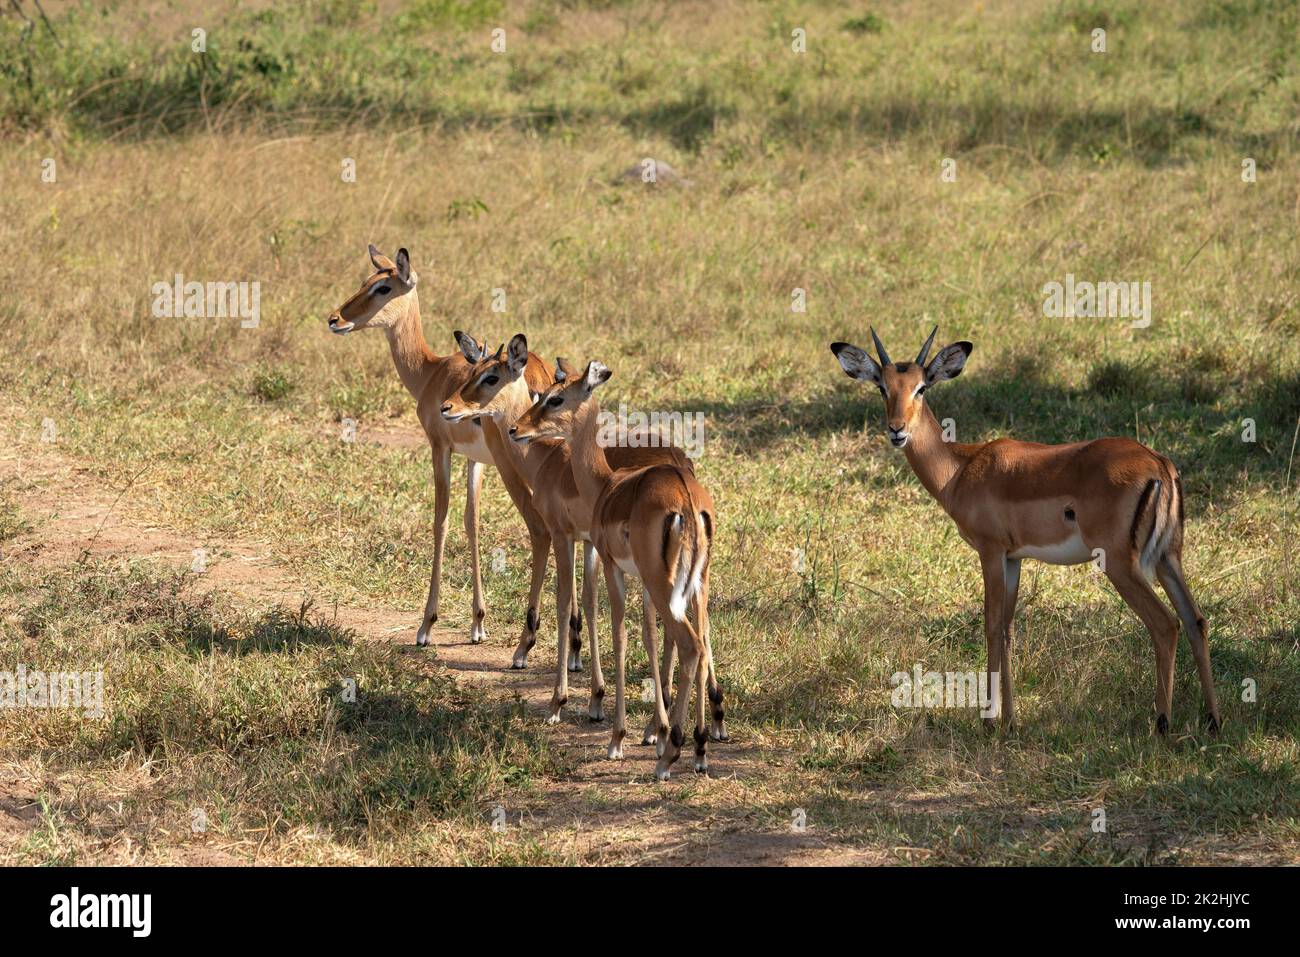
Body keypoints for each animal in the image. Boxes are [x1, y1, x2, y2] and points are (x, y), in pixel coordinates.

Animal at [326, 244, 554, 652]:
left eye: (383, 287)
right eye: (365, 280)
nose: (335, 319)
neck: (430, 372)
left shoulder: (440, 448)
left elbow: (441, 520)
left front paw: (426, 626)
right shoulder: (476, 461)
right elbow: (472, 521)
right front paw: (478, 623)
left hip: (512, 466)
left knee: (540, 529)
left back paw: (526, 642)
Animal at [441, 334, 703, 748]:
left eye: (492, 376)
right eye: (472, 370)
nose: (449, 407)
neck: (550, 458)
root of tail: (681, 467)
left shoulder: (562, 535)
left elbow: (566, 603)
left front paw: (557, 699)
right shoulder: (590, 543)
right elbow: (591, 605)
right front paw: (595, 700)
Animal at [509, 357, 724, 780]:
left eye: (555, 398)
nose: (517, 429)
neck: (606, 484)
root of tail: (687, 499)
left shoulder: (613, 567)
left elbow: (619, 633)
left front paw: (617, 738)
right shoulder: (639, 578)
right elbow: (650, 637)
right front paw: (653, 732)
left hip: (663, 583)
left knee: (690, 643)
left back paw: (668, 756)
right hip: (695, 584)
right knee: (702, 639)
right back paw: (699, 748)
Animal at [830, 327, 1221, 736]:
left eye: (921, 388)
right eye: (883, 387)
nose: (897, 430)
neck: (960, 470)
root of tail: (1159, 464)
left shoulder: (989, 551)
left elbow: (990, 625)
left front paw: (989, 721)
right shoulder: (1014, 558)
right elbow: (1007, 629)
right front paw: (1011, 720)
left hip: (1121, 565)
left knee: (1165, 624)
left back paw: (1162, 724)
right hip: (1167, 559)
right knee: (1196, 620)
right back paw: (1214, 720)